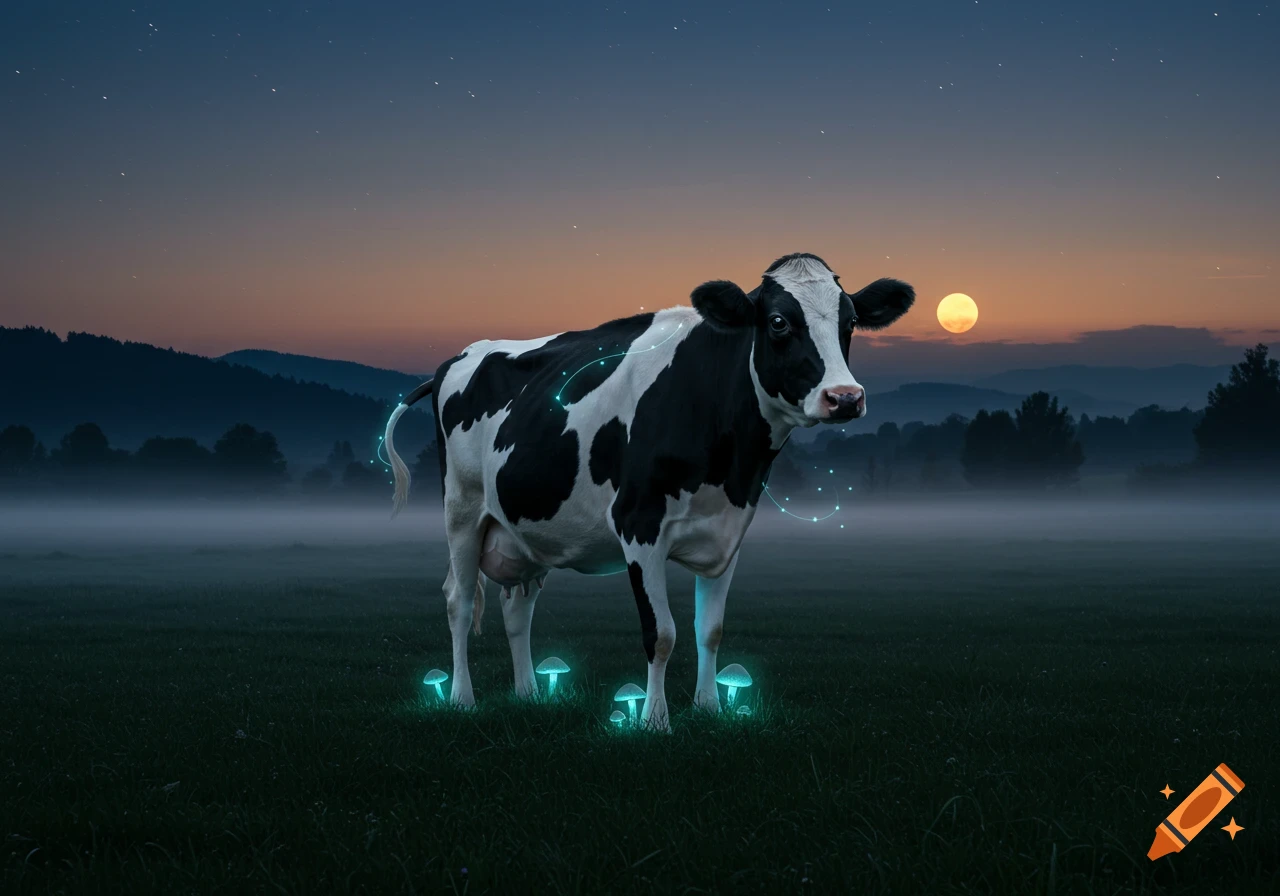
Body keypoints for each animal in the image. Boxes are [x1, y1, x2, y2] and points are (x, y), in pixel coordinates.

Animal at [384, 252, 914, 729]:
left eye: (850, 322)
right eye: (779, 322)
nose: (845, 397)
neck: (728, 467)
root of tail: (460, 356)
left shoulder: (729, 530)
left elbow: (710, 629)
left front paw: (709, 708)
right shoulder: (638, 523)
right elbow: (661, 633)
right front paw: (655, 721)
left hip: (525, 529)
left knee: (517, 607)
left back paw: (529, 695)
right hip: (463, 510)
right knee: (458, 601)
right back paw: (462, 698)